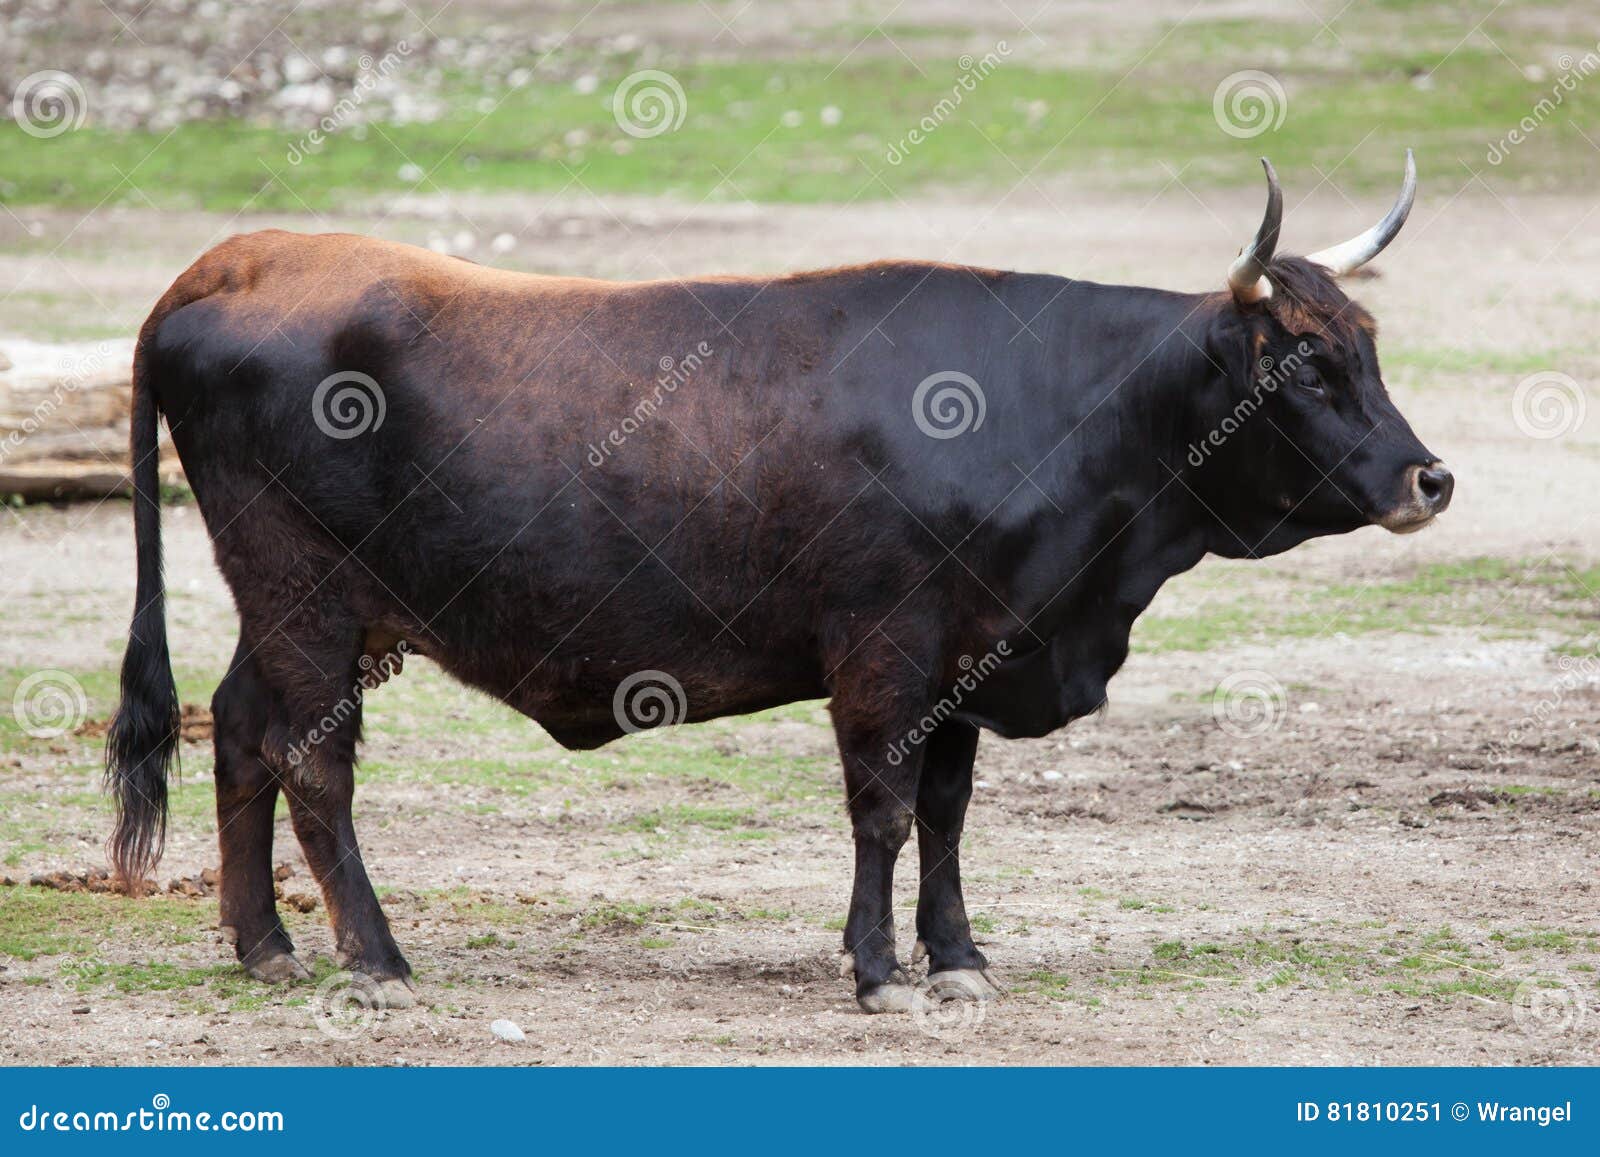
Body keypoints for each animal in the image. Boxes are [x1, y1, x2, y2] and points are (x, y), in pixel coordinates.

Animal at [106, 152, 1450, 1014]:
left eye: (1373, 352)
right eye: (1302, 368)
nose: (1428, 478)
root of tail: (233, 261)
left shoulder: (970, 652)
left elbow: (947, 813)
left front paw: (955, 955)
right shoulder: (885, 648)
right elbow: (884, 808)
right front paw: (876, 970)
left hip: (292, 607)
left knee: (239, 730)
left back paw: (266, 944)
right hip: (308, 596)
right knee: (312, 765)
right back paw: (374, 959)